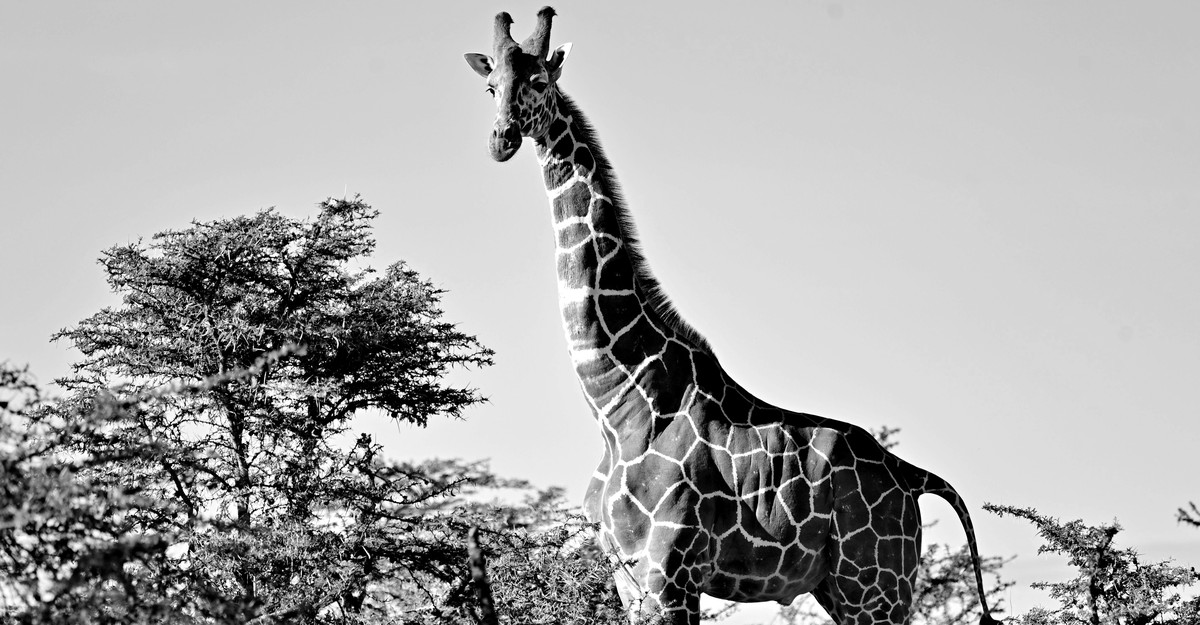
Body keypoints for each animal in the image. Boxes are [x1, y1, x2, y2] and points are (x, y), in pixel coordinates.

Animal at [464, 8, 1002, 625]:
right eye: (490, 86)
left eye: (538, 81)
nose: (501, 140)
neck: (615, 402)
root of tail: (914, 479)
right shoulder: (628, 574)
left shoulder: (669, 571)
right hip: (842, 586)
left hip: (874, 586)